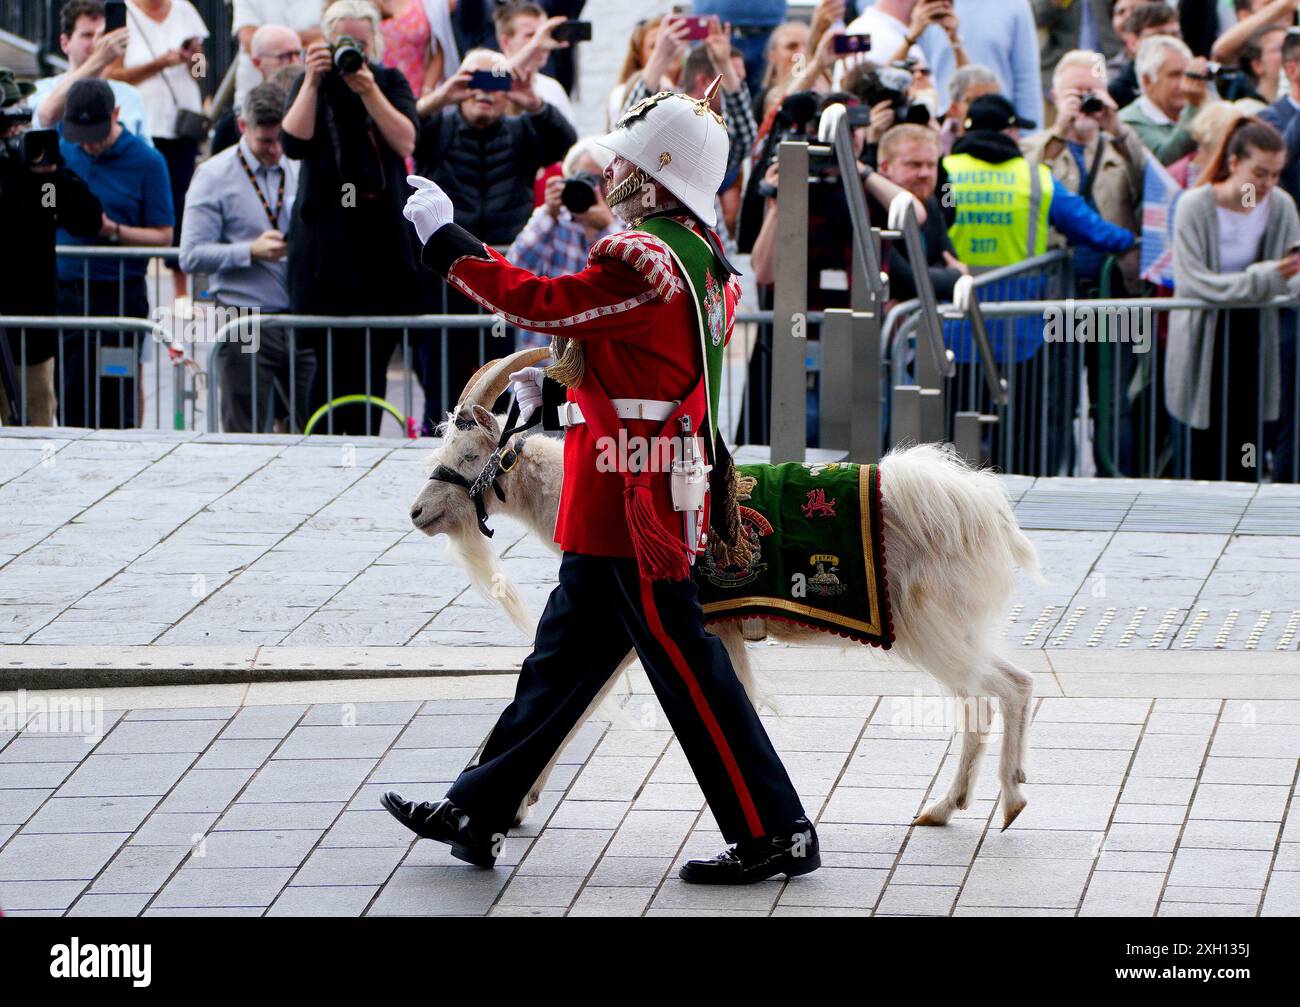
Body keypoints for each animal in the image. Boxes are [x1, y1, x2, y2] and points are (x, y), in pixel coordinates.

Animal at [409, 348, 1042, 830]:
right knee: (984, 696)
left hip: (927, 621)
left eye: (471, 454)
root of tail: (986, 513)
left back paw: (1005, 800)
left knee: (1008, 686)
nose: (417, 513)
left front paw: (514, 805)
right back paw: (950, 807)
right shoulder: (700, 627)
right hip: (948, 624)